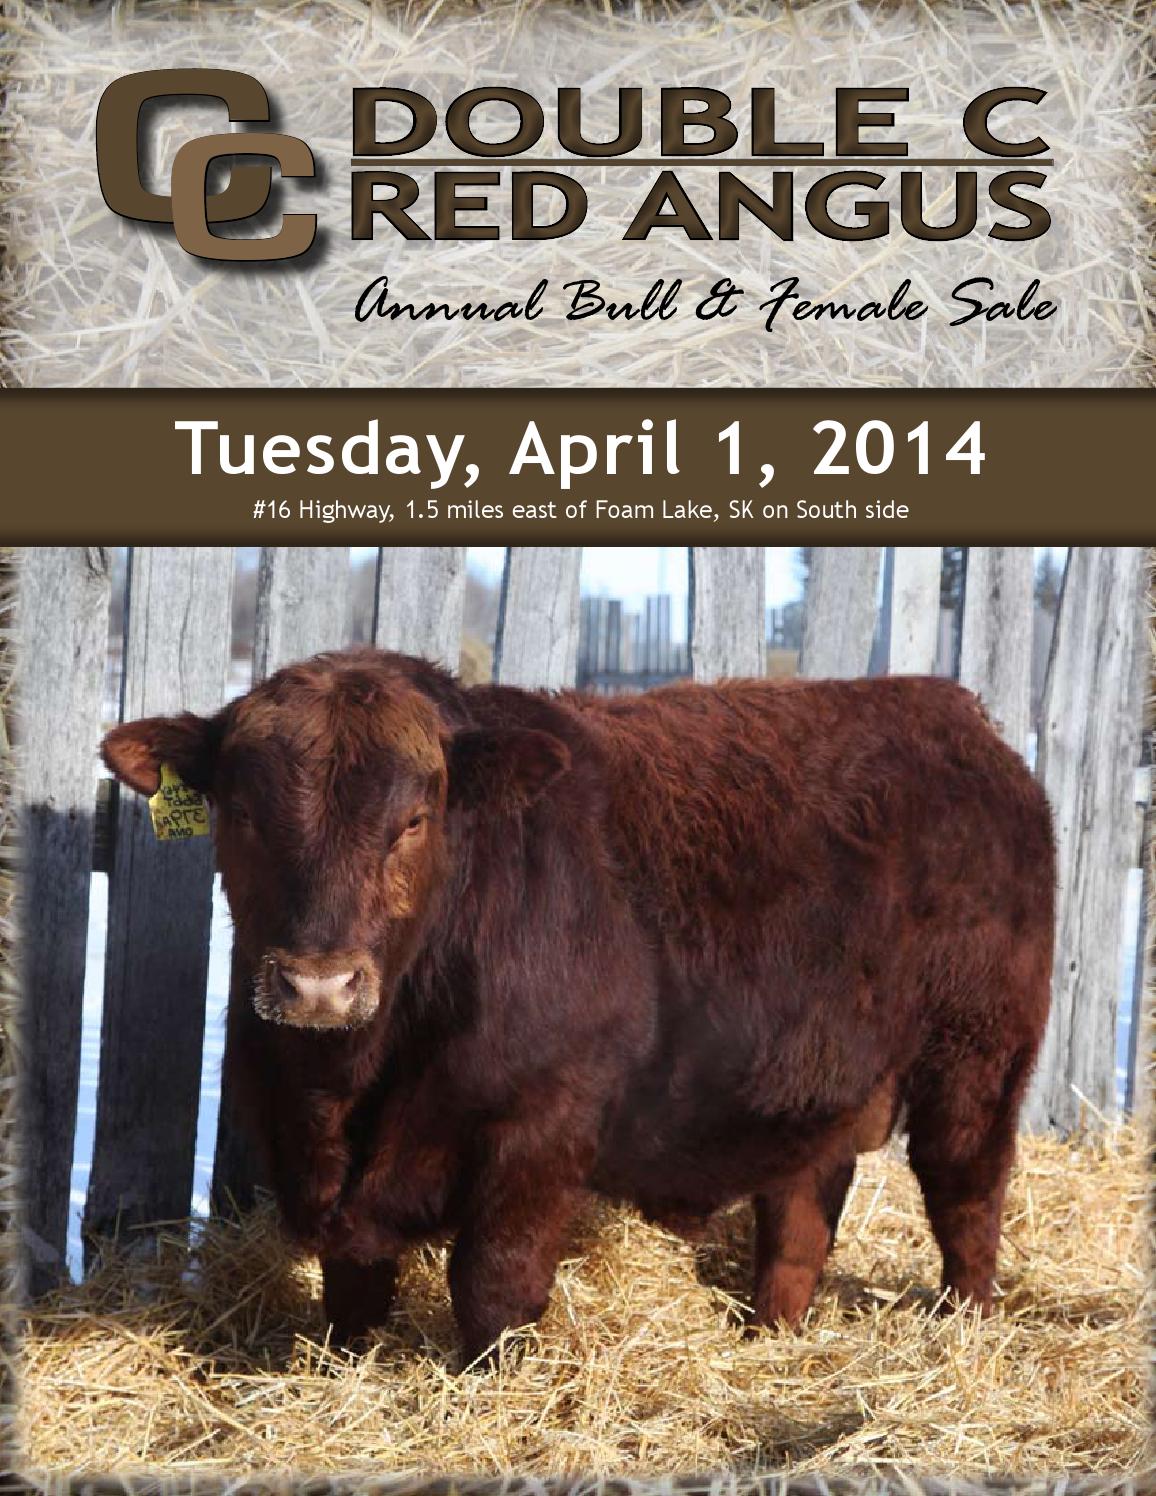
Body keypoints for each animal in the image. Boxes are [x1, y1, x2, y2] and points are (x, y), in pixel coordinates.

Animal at [101, 647, 1054, 1363]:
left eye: (414, 820)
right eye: (243, 815)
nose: (319, 984)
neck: (353, 1081)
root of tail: (953, 710)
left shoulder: (538, 1127)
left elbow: (494, 1286)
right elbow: (353, 1291)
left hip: (976, 1057)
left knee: (967, 1192)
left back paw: (966, 1327)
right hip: (812, 1082)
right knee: (799, 1218)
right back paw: (770, 1335)